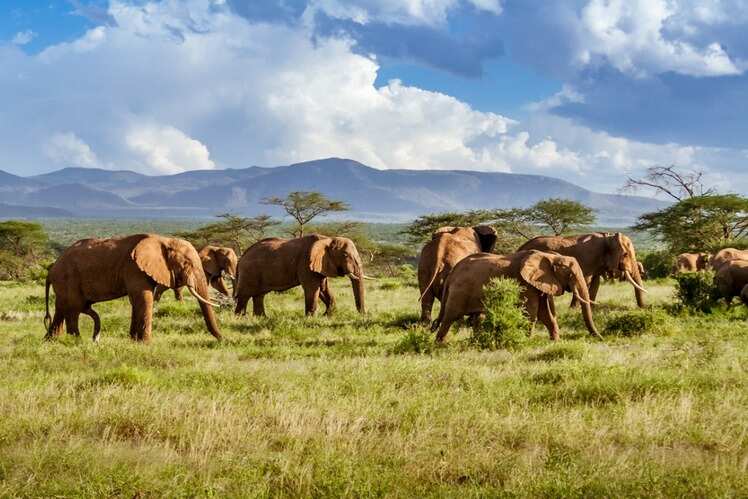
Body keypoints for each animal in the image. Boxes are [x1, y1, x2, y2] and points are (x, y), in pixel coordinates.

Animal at [44, 234, 222, 342]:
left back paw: (51, 341)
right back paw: (76, 341)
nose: (223, 340)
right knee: (72, 308)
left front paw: (134, 341)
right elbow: (144, 298)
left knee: (62, 308)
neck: (164, 239)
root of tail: (51, 270)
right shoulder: (134, 268)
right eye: (187, 263)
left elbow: (137, 301)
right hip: (68, 278)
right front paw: (146, 344)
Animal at [234, 234, 368, 317]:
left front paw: (327, 316)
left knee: (259, 295)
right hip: (249, 272)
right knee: (244, 295)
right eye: (345, 255)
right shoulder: (306, 262)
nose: (363, 315)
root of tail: (241, 257)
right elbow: (312, 289)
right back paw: (240, 318)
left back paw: (262, 318)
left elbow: (323, 289)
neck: (327, 239)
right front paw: (311, 318)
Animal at [432, 250, 600, 342]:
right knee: (450, 317)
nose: (600, 338)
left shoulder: (538, 285)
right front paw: (527, 341)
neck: (550, 256)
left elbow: (545, 315)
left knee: (476, 317)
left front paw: (555, 341)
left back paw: (475, 342)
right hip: (459, 291)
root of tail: (452, 273)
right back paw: (440, 344)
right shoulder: (525, 283)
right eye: (570, 274)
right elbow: (531, 313)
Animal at [518, 232, 647, 308]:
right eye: (626, 254)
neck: (608, 237)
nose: (642, 307)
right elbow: (585, 281)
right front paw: (574, 309)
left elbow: (595, 283)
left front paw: (592, 307)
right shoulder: (588, 258)